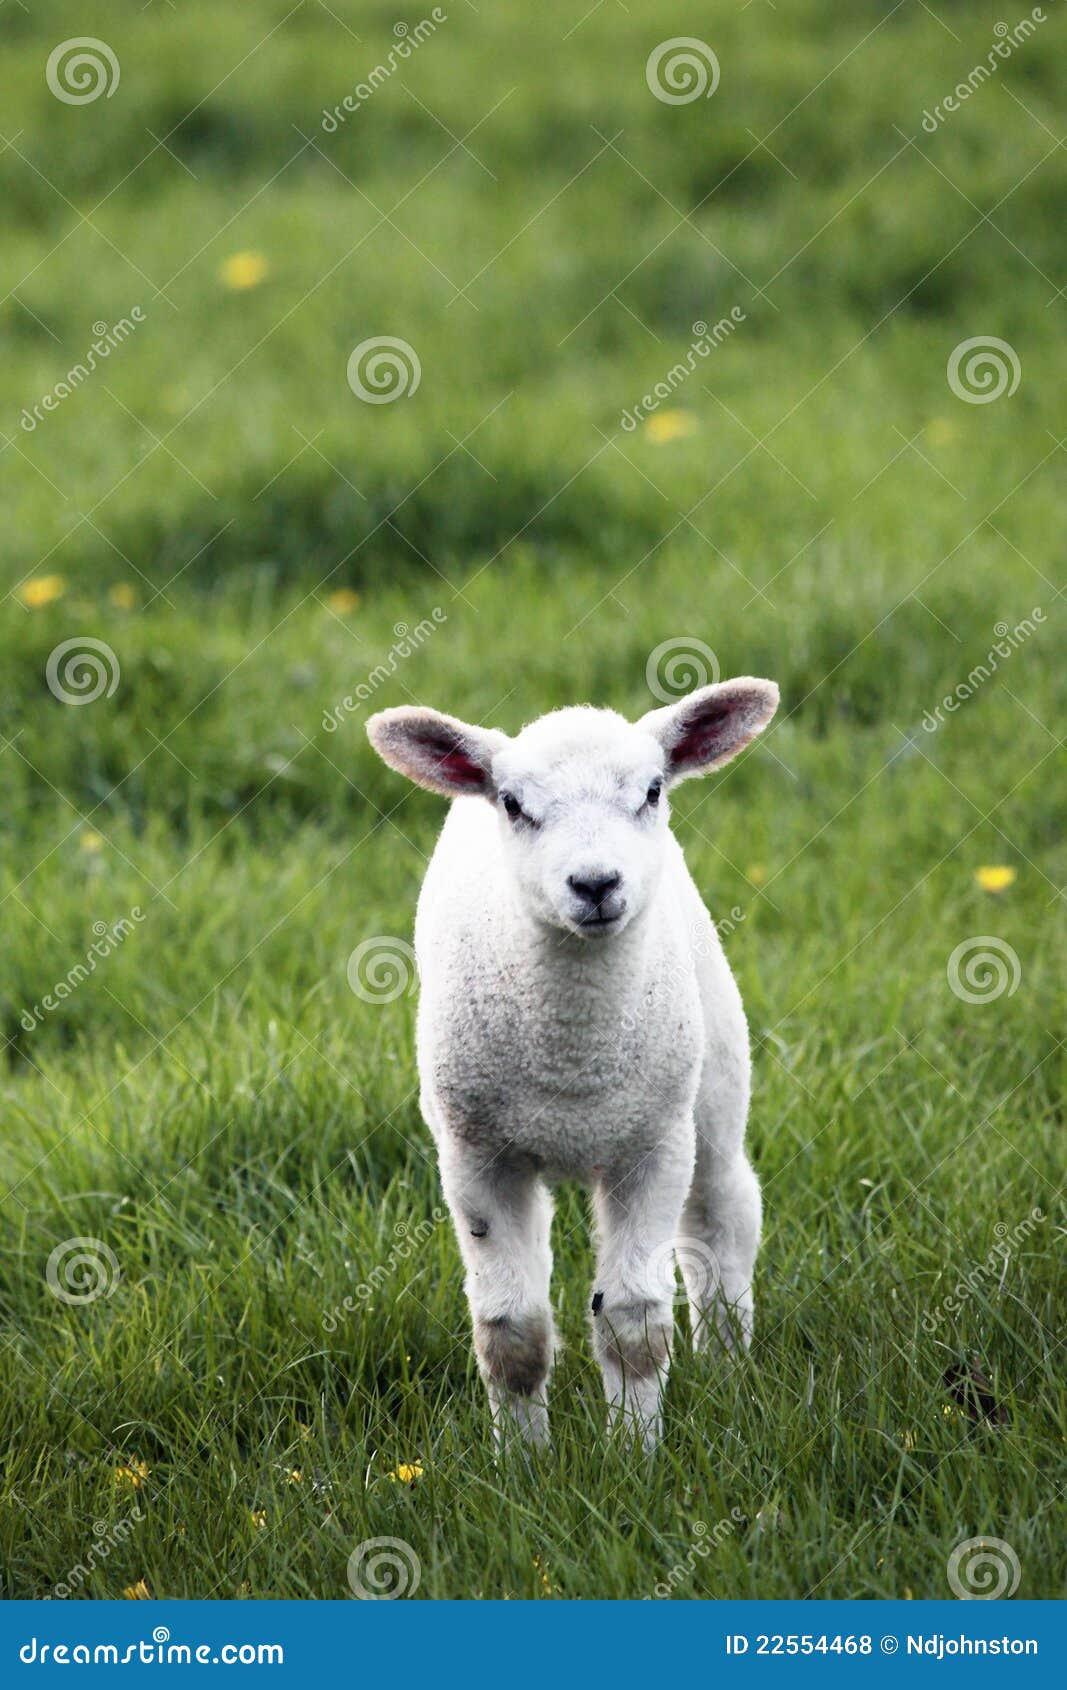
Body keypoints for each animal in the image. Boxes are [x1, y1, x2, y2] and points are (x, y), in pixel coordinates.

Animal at [366, 676, 779, 1449]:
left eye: (651, 790)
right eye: (513, 804)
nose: (594, 883)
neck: (572, 1059)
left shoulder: (651, 1147)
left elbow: (634, 1323)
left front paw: (635, 1458)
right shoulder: (476, 1158)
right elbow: (511, 1332)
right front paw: (523, 1464)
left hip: (708, 1085)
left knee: (720, 1221)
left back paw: (730, 1376)